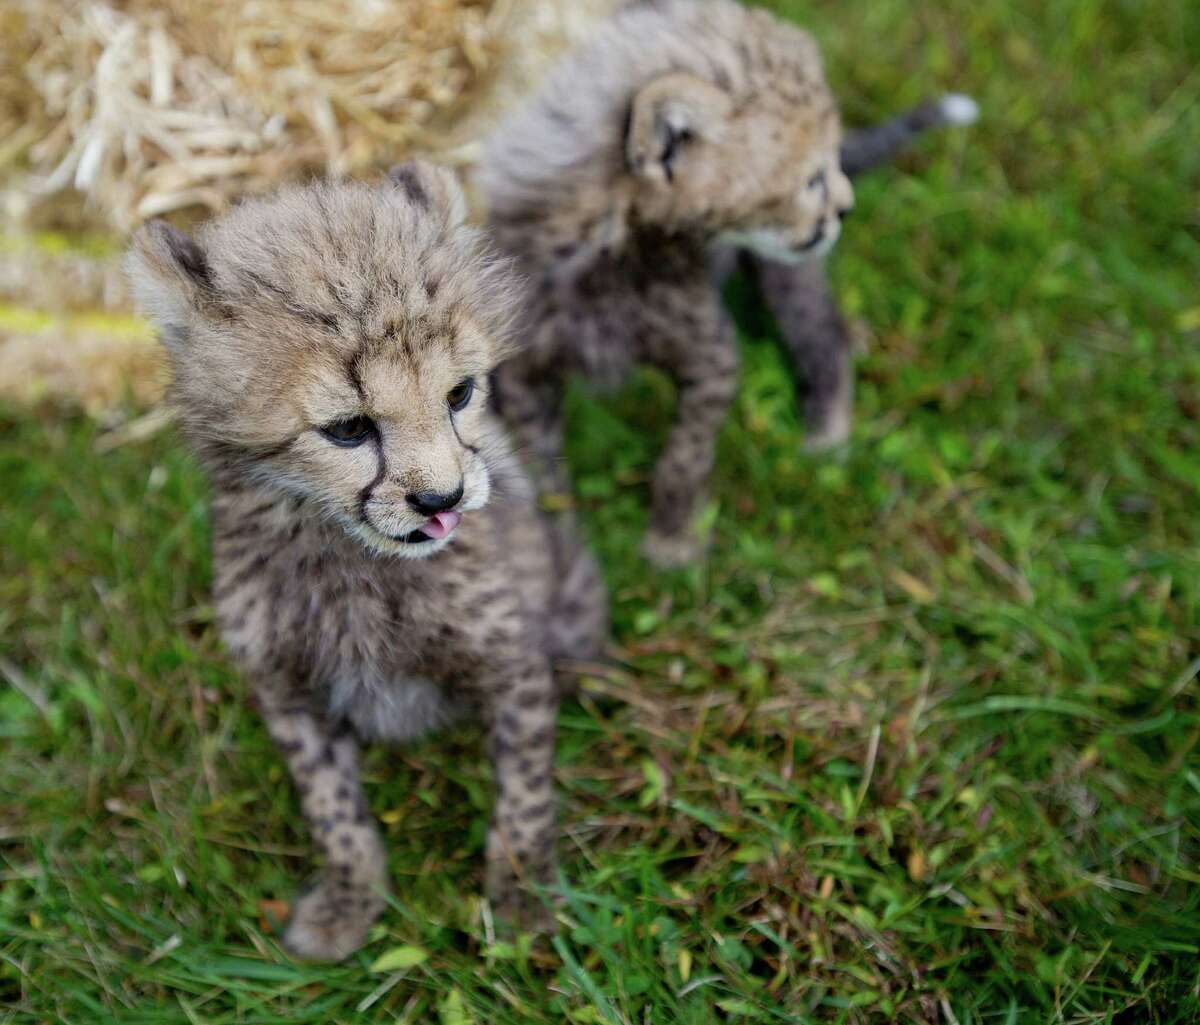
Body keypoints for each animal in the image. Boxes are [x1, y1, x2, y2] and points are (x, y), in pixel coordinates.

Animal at [125, 163, 608, 962]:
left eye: (459, 393)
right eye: (349, 428)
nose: (443, 498)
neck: (349, 561)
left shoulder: (510, 664)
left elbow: (525, 792)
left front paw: (523, 895)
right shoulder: (286, 689)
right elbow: (332, 808)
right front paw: (350, 899)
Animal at [481, 0, 976, 566]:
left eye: (829, 165)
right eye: (811, 180)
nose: (846, 208)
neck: (613, 245)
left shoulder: (711, 357)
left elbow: (685, 457)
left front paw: (671, 544)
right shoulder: (523, 374)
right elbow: (542, 473)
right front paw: (560, 547)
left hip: (787, 270)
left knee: (824, 333)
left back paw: (826, 440)